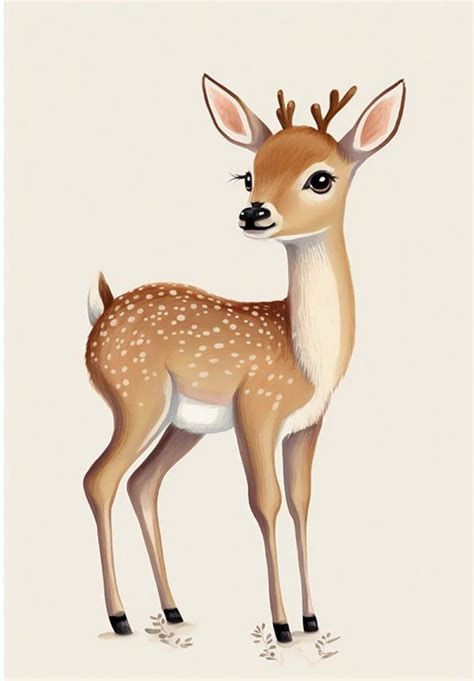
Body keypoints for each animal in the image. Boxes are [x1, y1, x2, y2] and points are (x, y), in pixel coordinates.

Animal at [84, 74, 405, 643]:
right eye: (249, 174)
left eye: (321, 178)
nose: (254, 212)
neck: (304, 359)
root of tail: (102, 310)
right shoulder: (257, 407)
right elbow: (266, 502)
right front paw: (280, 625)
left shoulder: (307, 423)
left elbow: (301, 501)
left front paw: (311, 619)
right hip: (136, 396)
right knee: (100, 480)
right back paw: (119, 618)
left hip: (181, 423)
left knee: (143, 483)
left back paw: (172, 610)